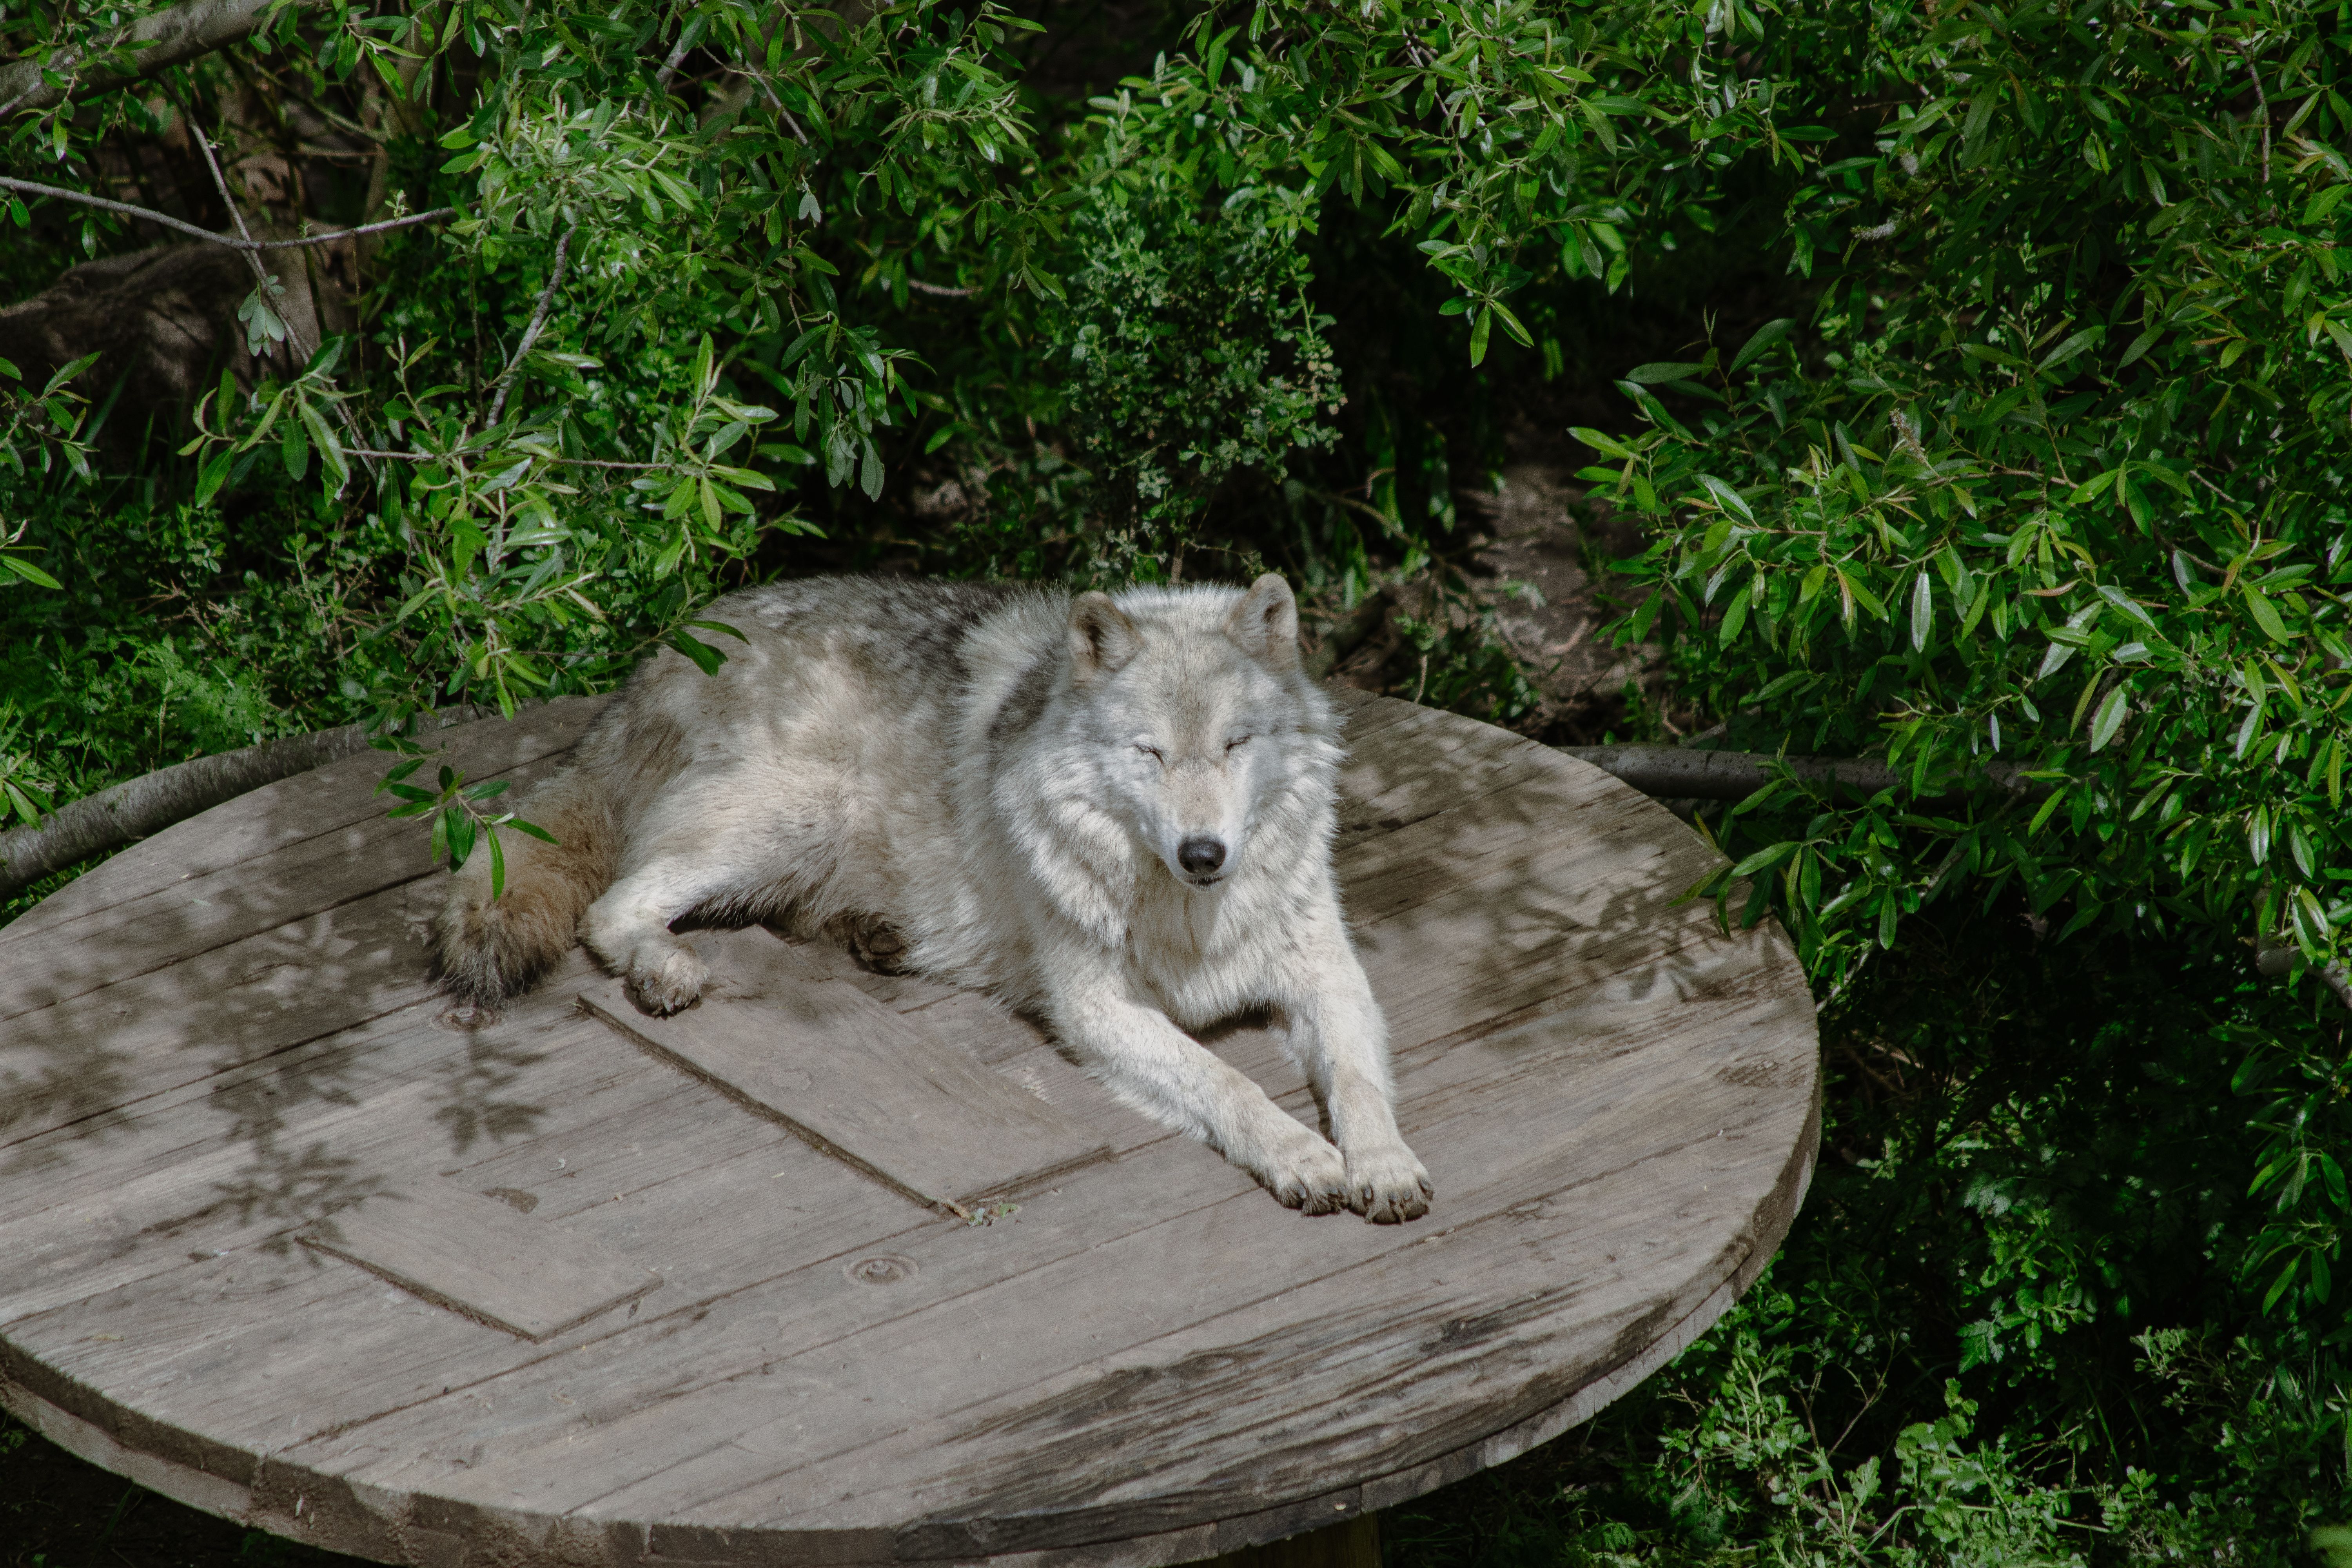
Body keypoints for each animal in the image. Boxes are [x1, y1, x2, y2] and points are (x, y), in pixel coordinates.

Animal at [433, 573, 1432, 1222]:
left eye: (1233, 745)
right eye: (1149, 753)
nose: (1203, 853)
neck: (1187, 914)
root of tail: (653, 660)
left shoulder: (1332, 976)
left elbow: (1358, 1077)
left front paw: (1381, 1163)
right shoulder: (1098, 1009)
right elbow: (1228, 1081)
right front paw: (1301, 1154)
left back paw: (874, 935)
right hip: (793, 811)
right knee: (612, 906)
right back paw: (662, 971)